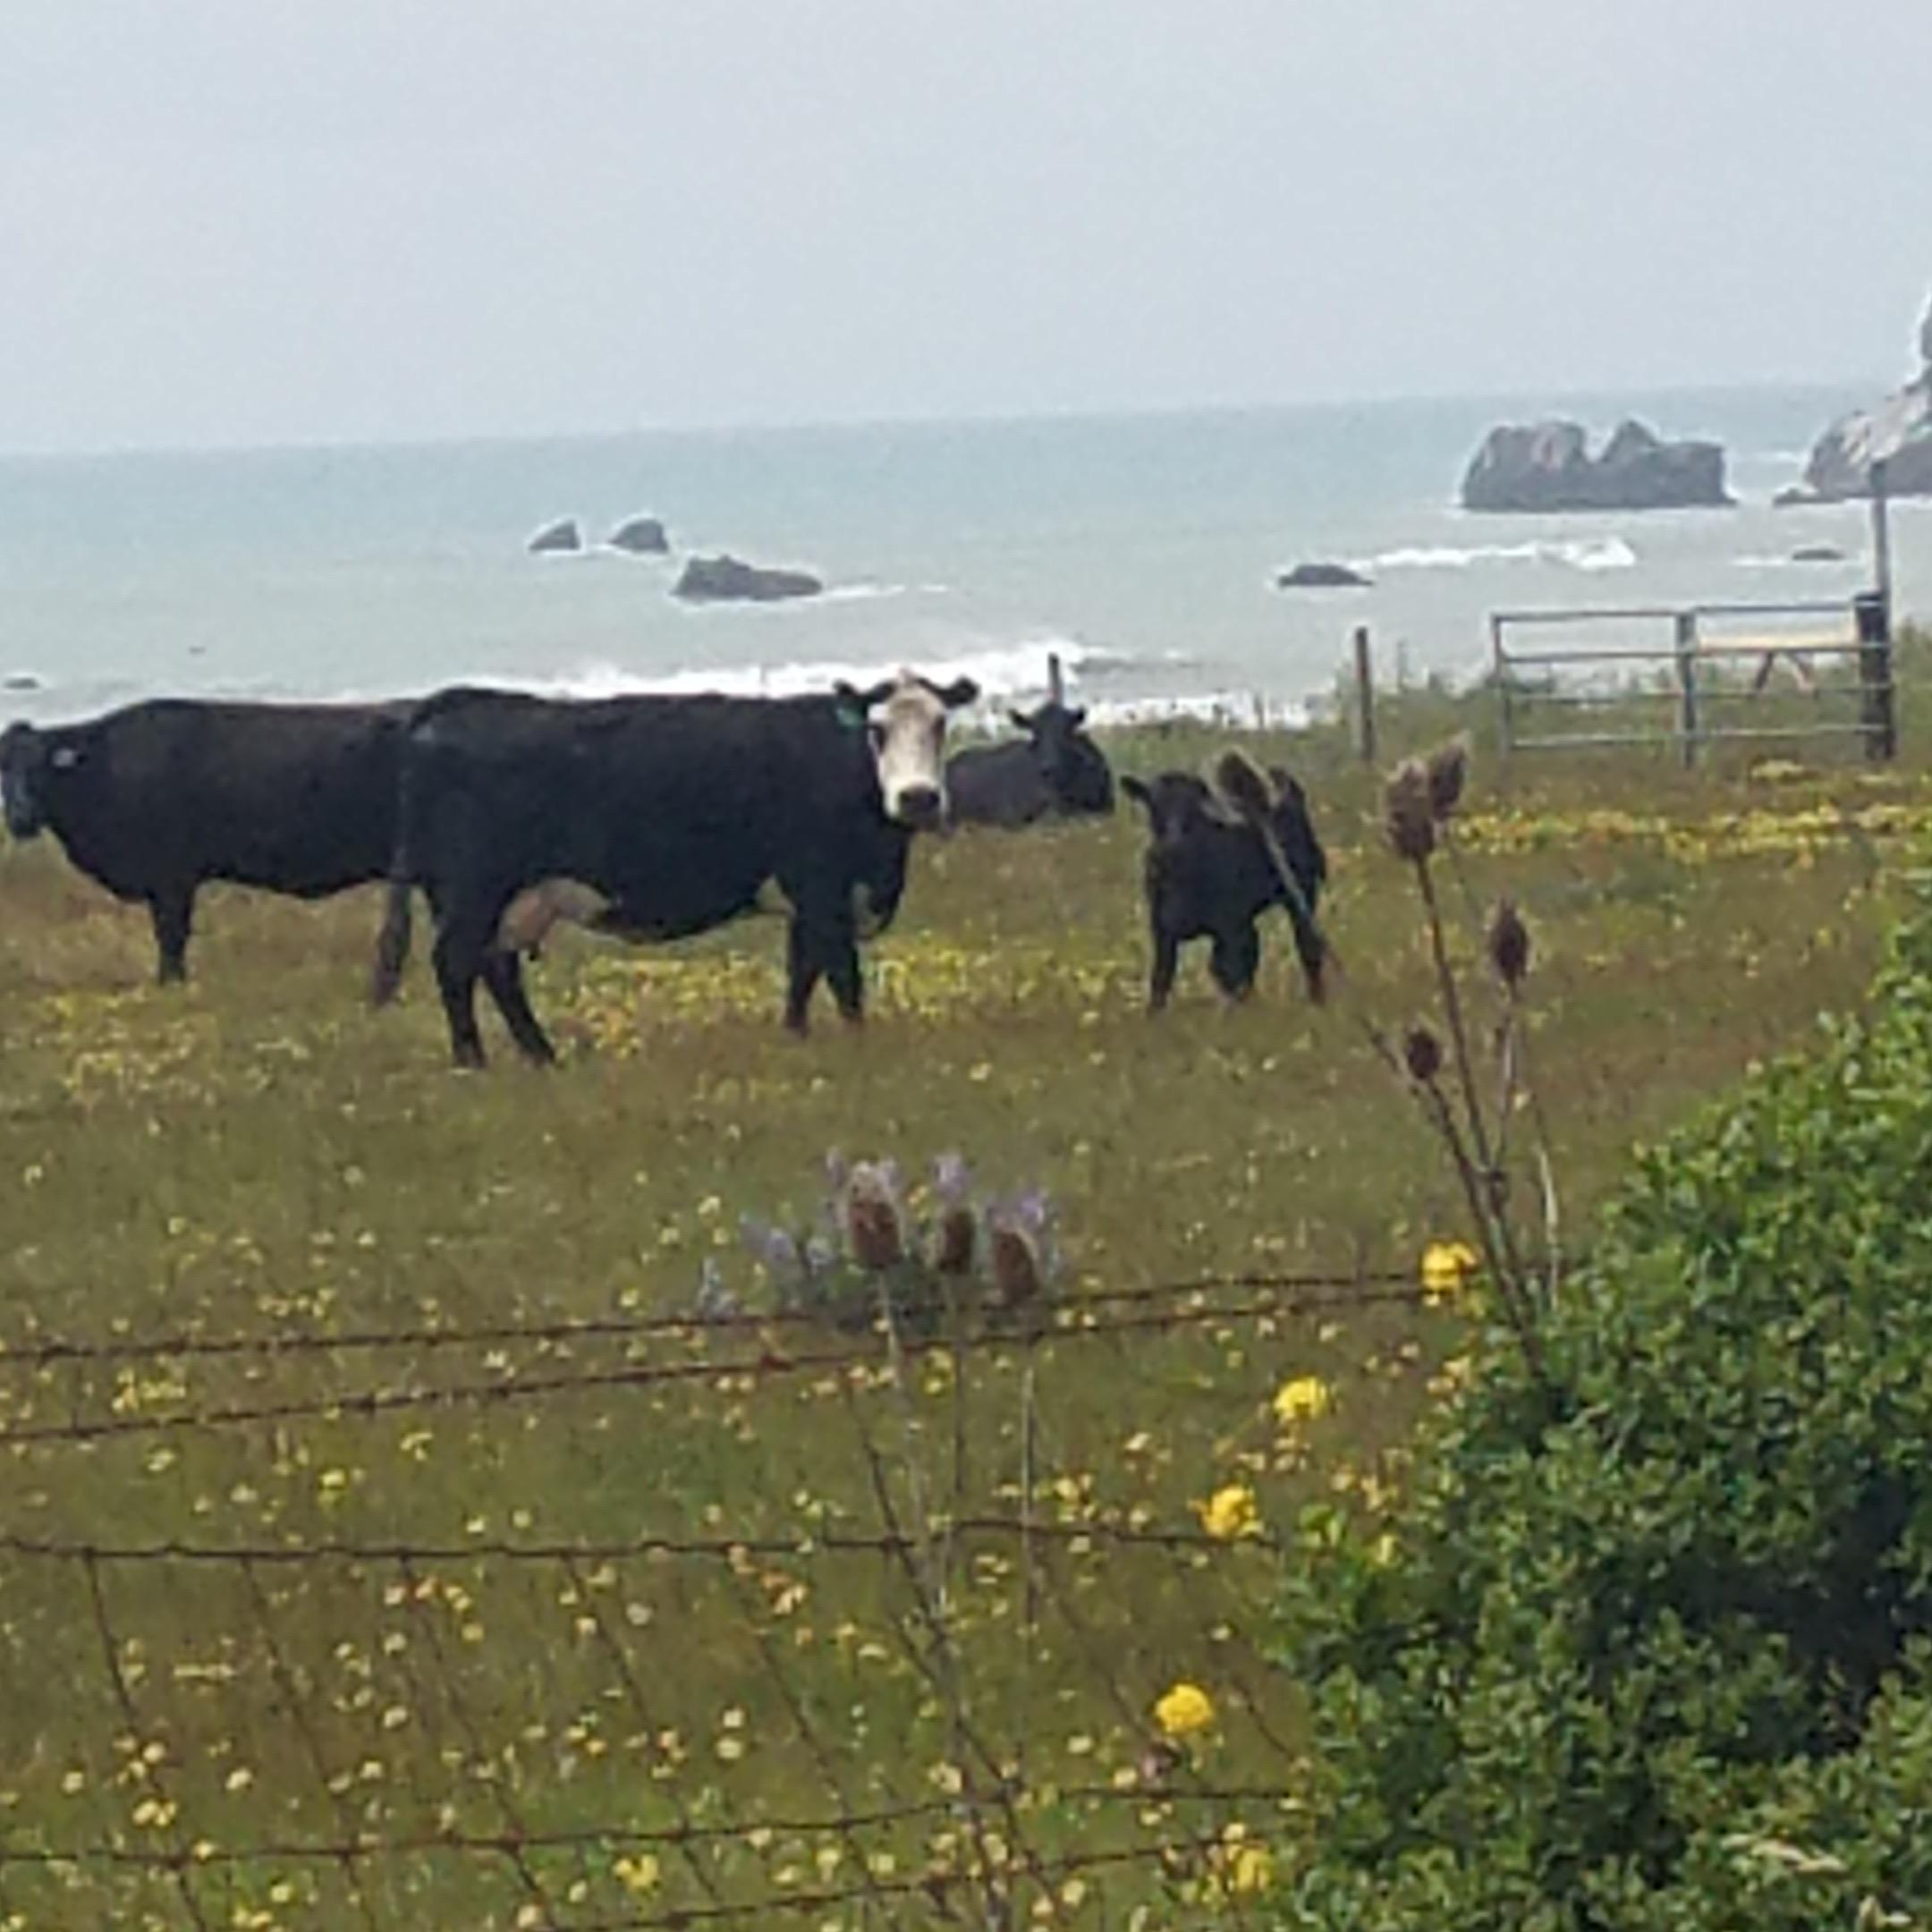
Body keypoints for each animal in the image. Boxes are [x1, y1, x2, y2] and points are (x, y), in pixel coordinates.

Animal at [0, 698, 409, 983]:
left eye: (39, 769)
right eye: (3, 771)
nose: (20, 818)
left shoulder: (171, 878)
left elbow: (171, 935)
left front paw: (171, 983)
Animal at [369, 670, 979, 1068]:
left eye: (941, 724)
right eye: (877, 730)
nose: (918, 798)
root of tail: (462, 701)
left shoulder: (810, 901)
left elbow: (801, 974)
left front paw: (796, 1039)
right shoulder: (822, 887)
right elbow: (843, 978)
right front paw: (859, 1048)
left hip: (499, 897)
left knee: (495, 968)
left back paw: (544, 1058)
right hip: (473, 888)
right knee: (456, 964)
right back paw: (473, 1061)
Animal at [1120, 752, 1327, 1012]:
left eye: (1195, 809)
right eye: (1153, 805)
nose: (1171, 844)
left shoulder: (1228, 927)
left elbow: (1230, 974)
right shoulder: (1163, 931)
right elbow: (1160, 982)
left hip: (1302, 891)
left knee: (1306, 946)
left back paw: (1317, 1001)